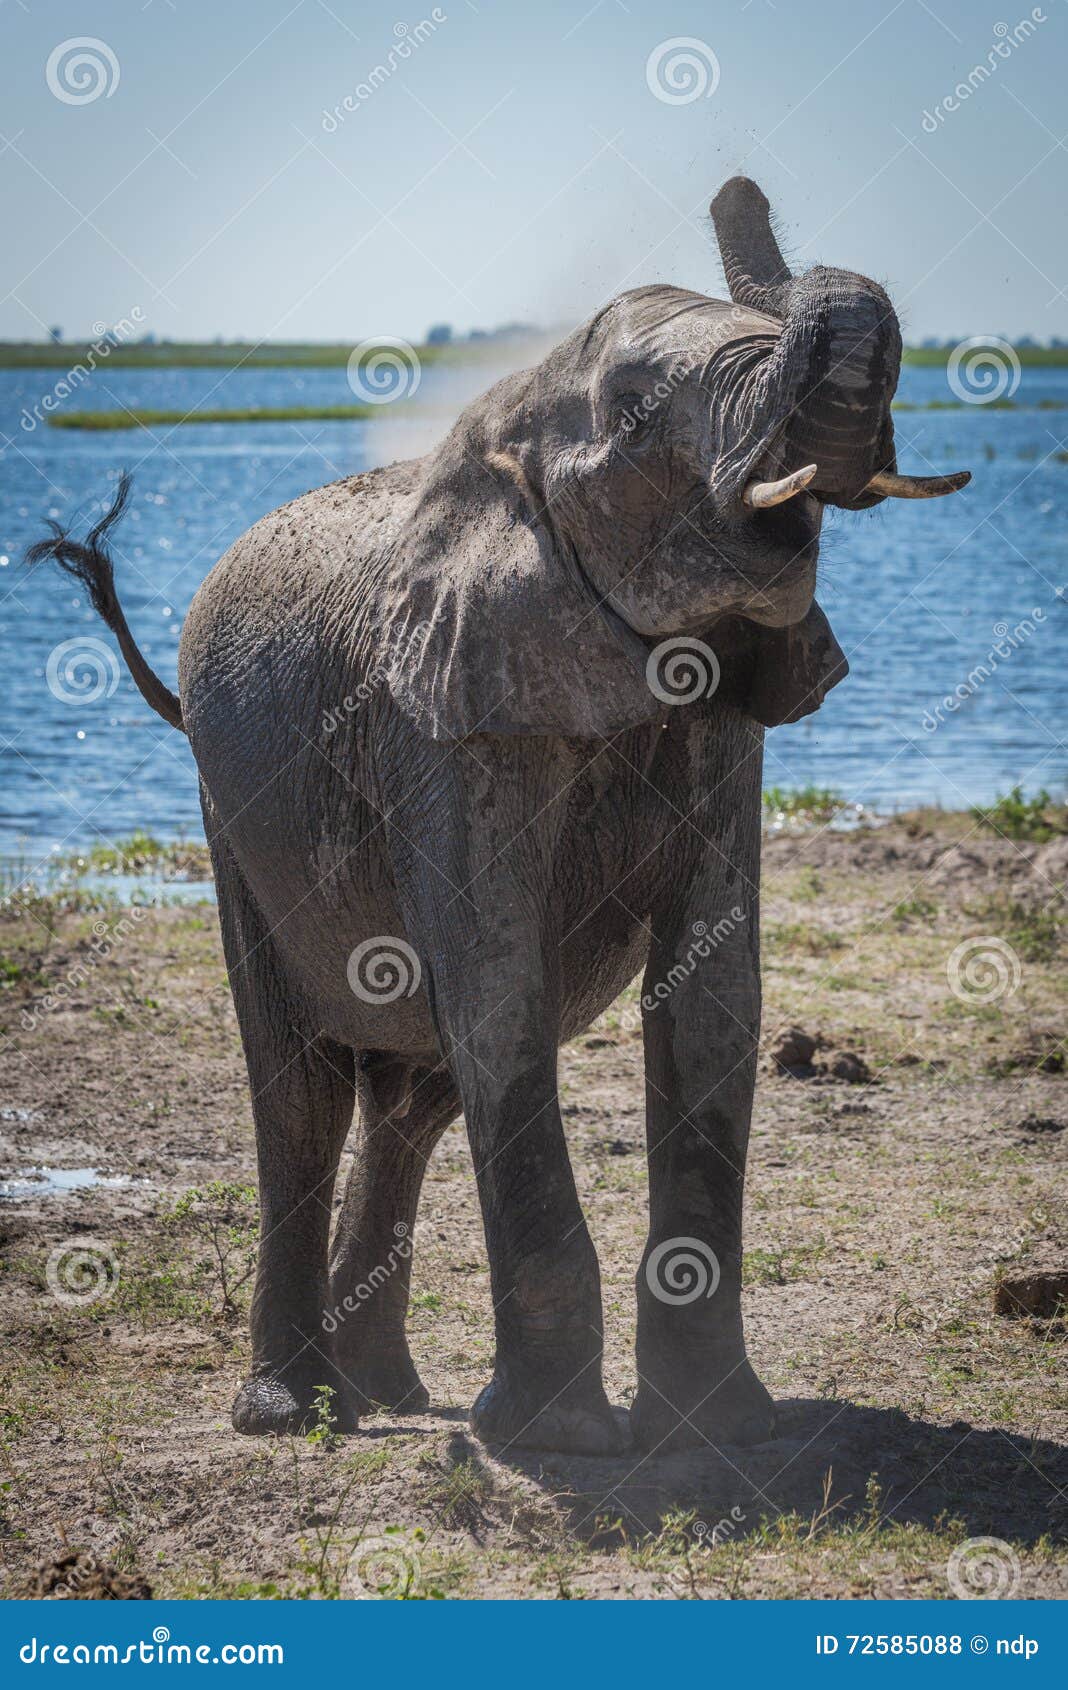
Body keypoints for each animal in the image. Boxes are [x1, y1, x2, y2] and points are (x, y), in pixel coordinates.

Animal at [31, 177, 970, 1455]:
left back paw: (388, 1397)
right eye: (636, 415)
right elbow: (497, 978)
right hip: (231, 813)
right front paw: (560, 1440)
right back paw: (292, 1413)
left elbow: (713, 1000)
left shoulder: (725, 720)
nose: (738, 188)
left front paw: (716, 1429)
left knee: (413, 1099)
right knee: (304, 1092)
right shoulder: (442, 722)